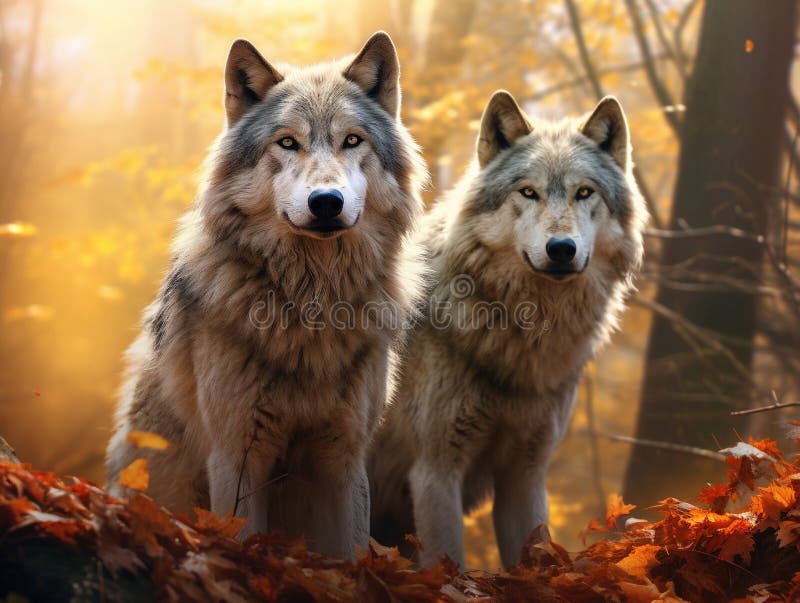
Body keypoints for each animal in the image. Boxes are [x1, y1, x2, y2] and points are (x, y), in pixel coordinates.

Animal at [106, 32, 425, 560]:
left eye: (352, 140)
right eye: (288, 142)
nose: (326, 202)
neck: (313, 306)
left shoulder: (345, 457)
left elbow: (352, 550)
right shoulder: (237, 453)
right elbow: (240, 535)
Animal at [369, 91, 646, 568]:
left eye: (584, 192)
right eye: (528, 192)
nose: (561, 249)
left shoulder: (527, 474)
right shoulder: (435, 472)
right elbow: (448, 560)